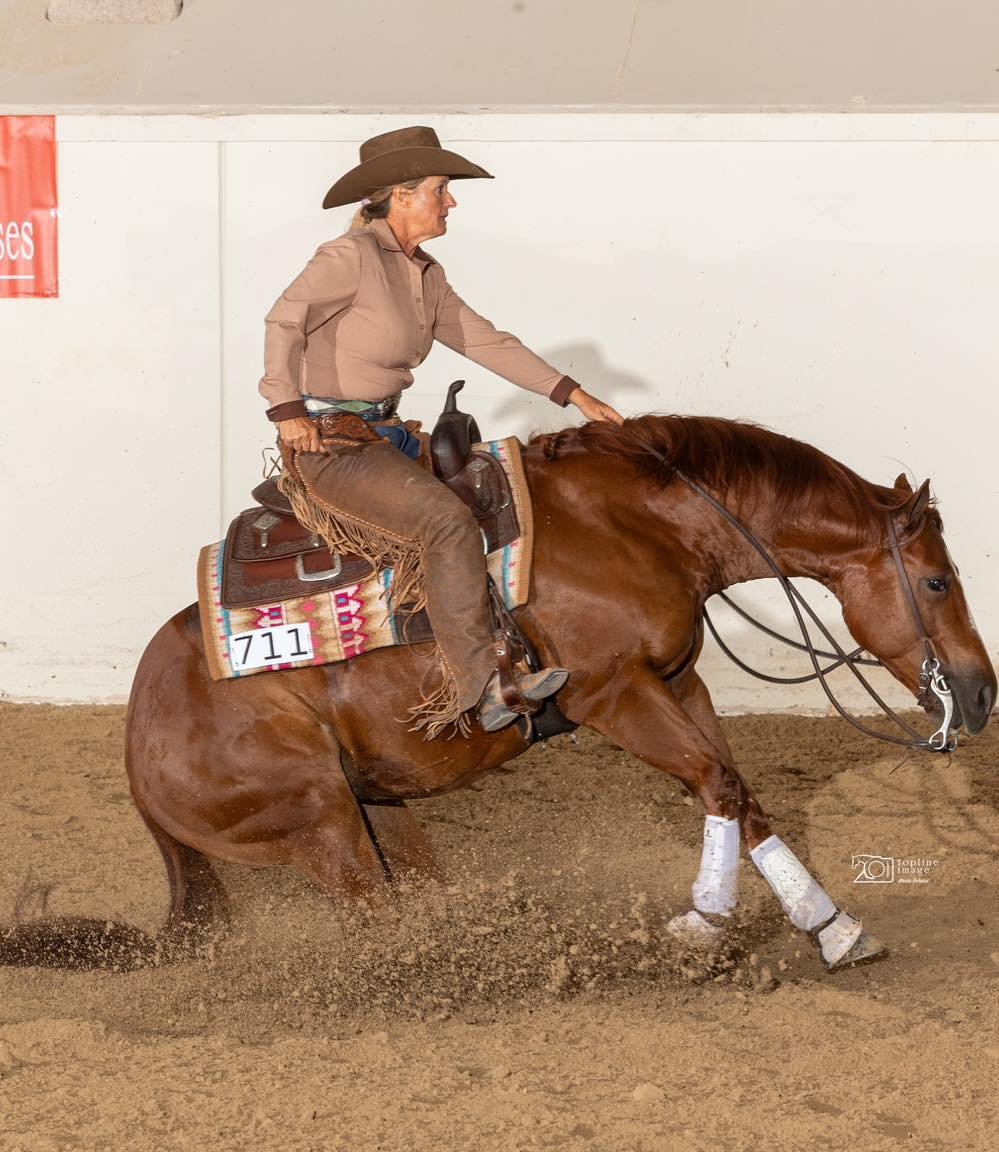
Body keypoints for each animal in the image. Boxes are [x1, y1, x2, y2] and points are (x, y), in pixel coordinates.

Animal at [2, 415, 993, 972]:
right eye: (937, 581)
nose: (980, 695)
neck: (629, 522)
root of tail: (137, 744)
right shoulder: (613, 695)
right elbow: (716, 787)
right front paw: (700, 929)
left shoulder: (679, 684)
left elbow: (738, 797)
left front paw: (834, 931)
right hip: (318, 819)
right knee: (379, 929)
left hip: (377, 808)